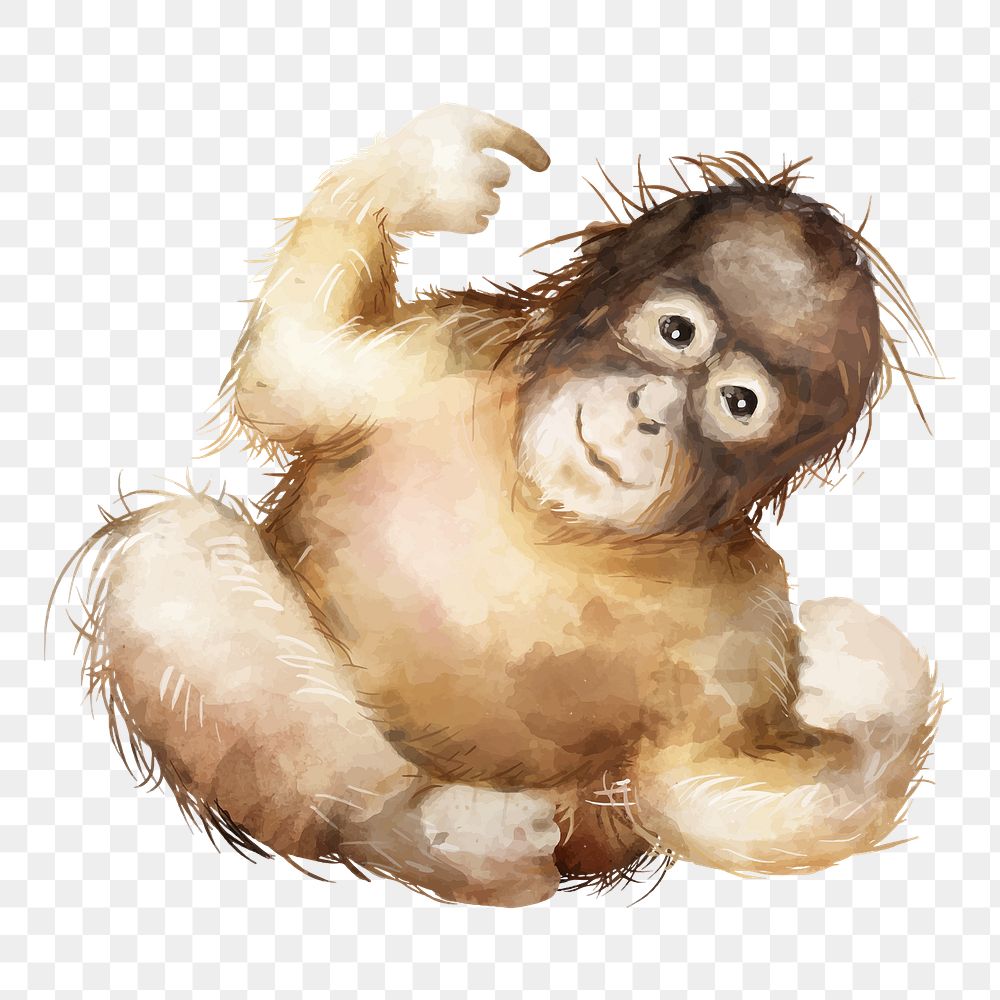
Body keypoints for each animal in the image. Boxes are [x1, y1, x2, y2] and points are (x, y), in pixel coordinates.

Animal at [59, 105, 941, 907]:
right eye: (676, 331)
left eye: (739, 404)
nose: (650, 412)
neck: (552, 513)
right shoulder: (434, 352)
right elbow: (291, 372)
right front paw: (429, 169)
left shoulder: (743, 634)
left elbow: (702, 795)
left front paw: (867, 674)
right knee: (173, 553)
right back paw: (414, 822)